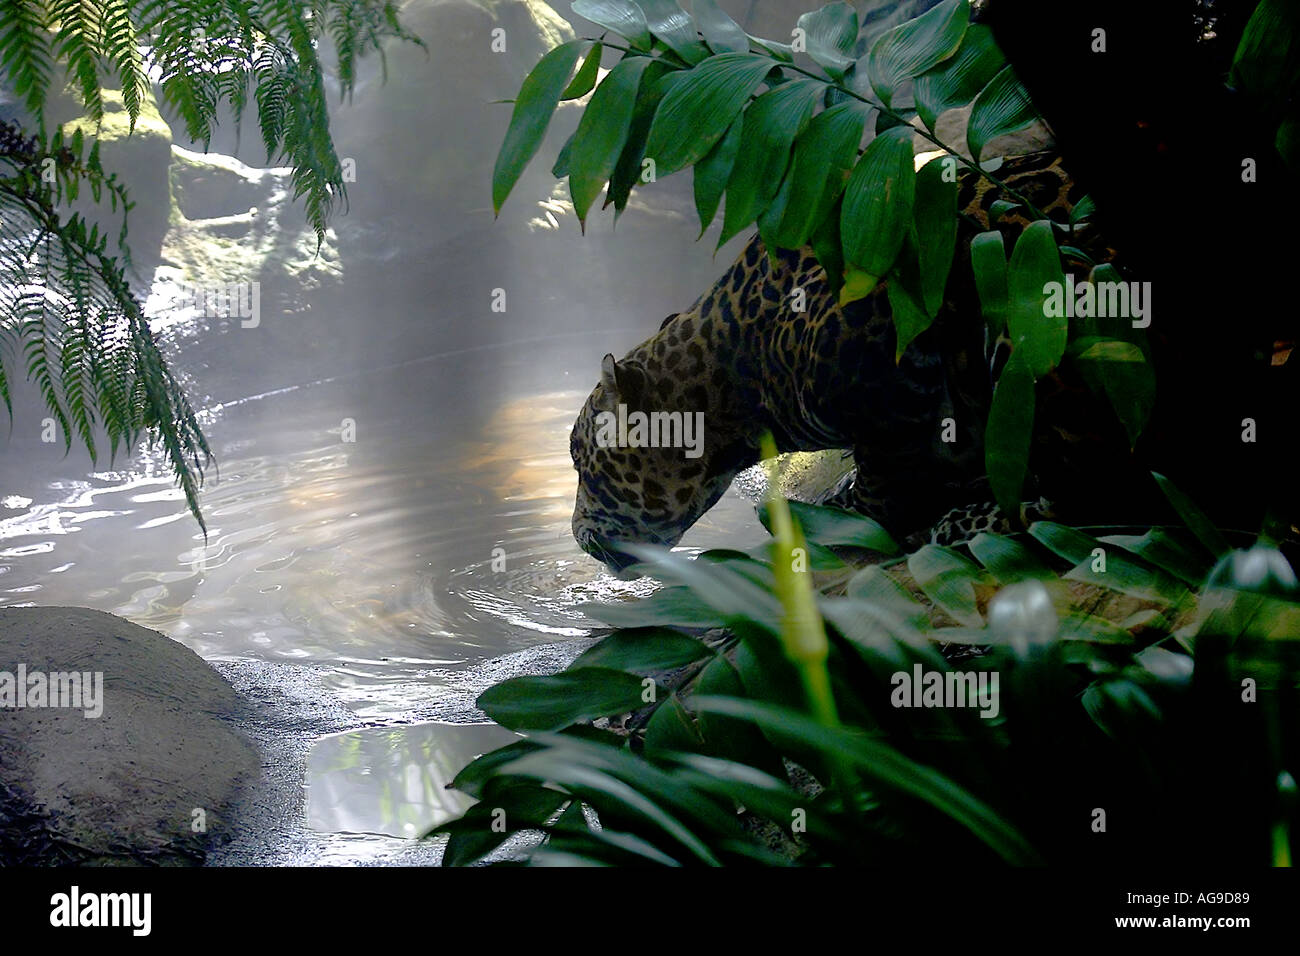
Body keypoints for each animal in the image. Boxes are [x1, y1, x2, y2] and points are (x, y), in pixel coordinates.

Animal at [570, 149, 1110, 573]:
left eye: (580, 461)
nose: (575, 533)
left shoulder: (885, 329)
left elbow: (880, 475)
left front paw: (845, 512)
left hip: (1032, 310)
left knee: (1086, 492)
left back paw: (960, 524)